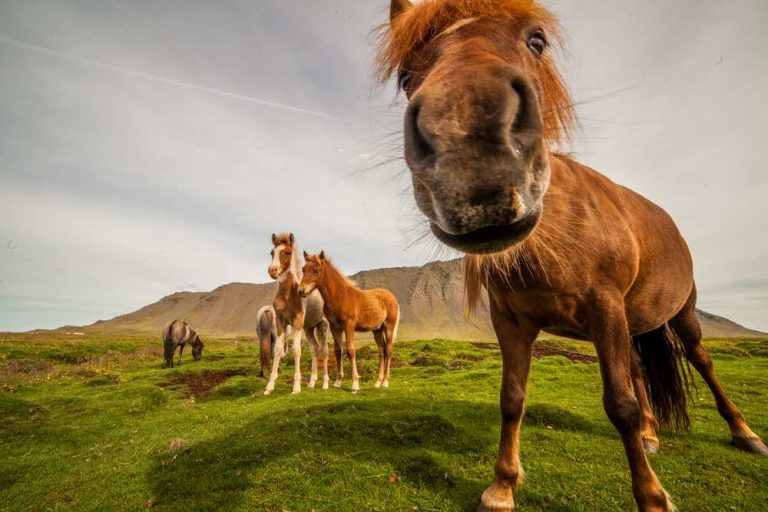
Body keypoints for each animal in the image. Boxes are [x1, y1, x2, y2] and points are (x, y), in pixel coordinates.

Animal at [264, 233, 330, 394]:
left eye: (288, 252)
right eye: (272, 252)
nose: (272, 271)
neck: (288, 294)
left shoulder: (298, 321)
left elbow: (296, 350)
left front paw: (296, 386)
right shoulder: (280, 322)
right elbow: (278, 349)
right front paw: (269, 386)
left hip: (322, 325)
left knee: (325, 350)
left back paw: (325, 383)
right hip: (309, 328)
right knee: (314, 349)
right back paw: (312, 382)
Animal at [298, 251, 400, 393]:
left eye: (316, 271)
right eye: (303, 269)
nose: (301, 291)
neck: (340, 297)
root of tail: (392, 297)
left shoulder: (349, 326)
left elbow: (350, 350)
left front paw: (355, 384)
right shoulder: (335, 327)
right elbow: (338, 351)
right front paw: (338, 382)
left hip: (389, 327)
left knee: (389, 350)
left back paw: (385, 382)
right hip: (377, 330)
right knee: (382, 350)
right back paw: (378, 382)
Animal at [377, 1, 767, 510]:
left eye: (536, 40)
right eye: (406, 75)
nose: (470, 147)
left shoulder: (605, 309)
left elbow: (620, 405)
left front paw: (652, 496)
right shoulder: (511, 321)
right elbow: (512, 398)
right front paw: (502, 486)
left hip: (681, 313)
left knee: (703, 361)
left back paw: (744, 433)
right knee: (639, 369)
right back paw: (652, 434)